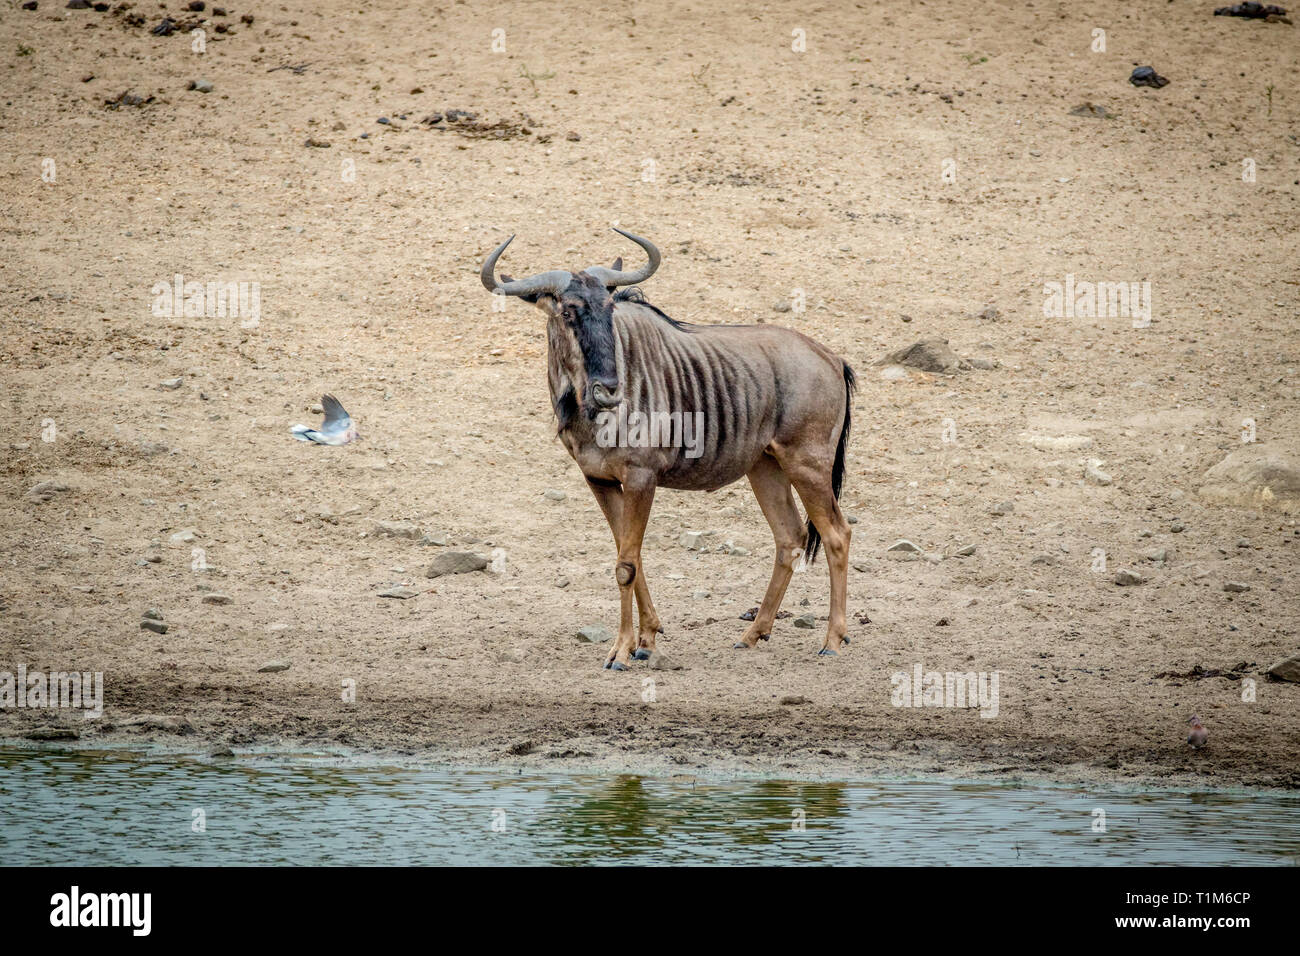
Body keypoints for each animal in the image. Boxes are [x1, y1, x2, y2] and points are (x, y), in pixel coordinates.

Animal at [480, 229, 855, 670]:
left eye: (610, 308)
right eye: (569, 312)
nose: (609, 389)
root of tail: (831, 358)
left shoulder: (641, 478)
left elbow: (626, 564)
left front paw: (622, 650)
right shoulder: (599, 480)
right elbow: (632, 556)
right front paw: (647, 641)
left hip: (807, 465)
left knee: (836, 534)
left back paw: (832, 640)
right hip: (766, 467)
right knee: (790, 536)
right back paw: (753, 634)